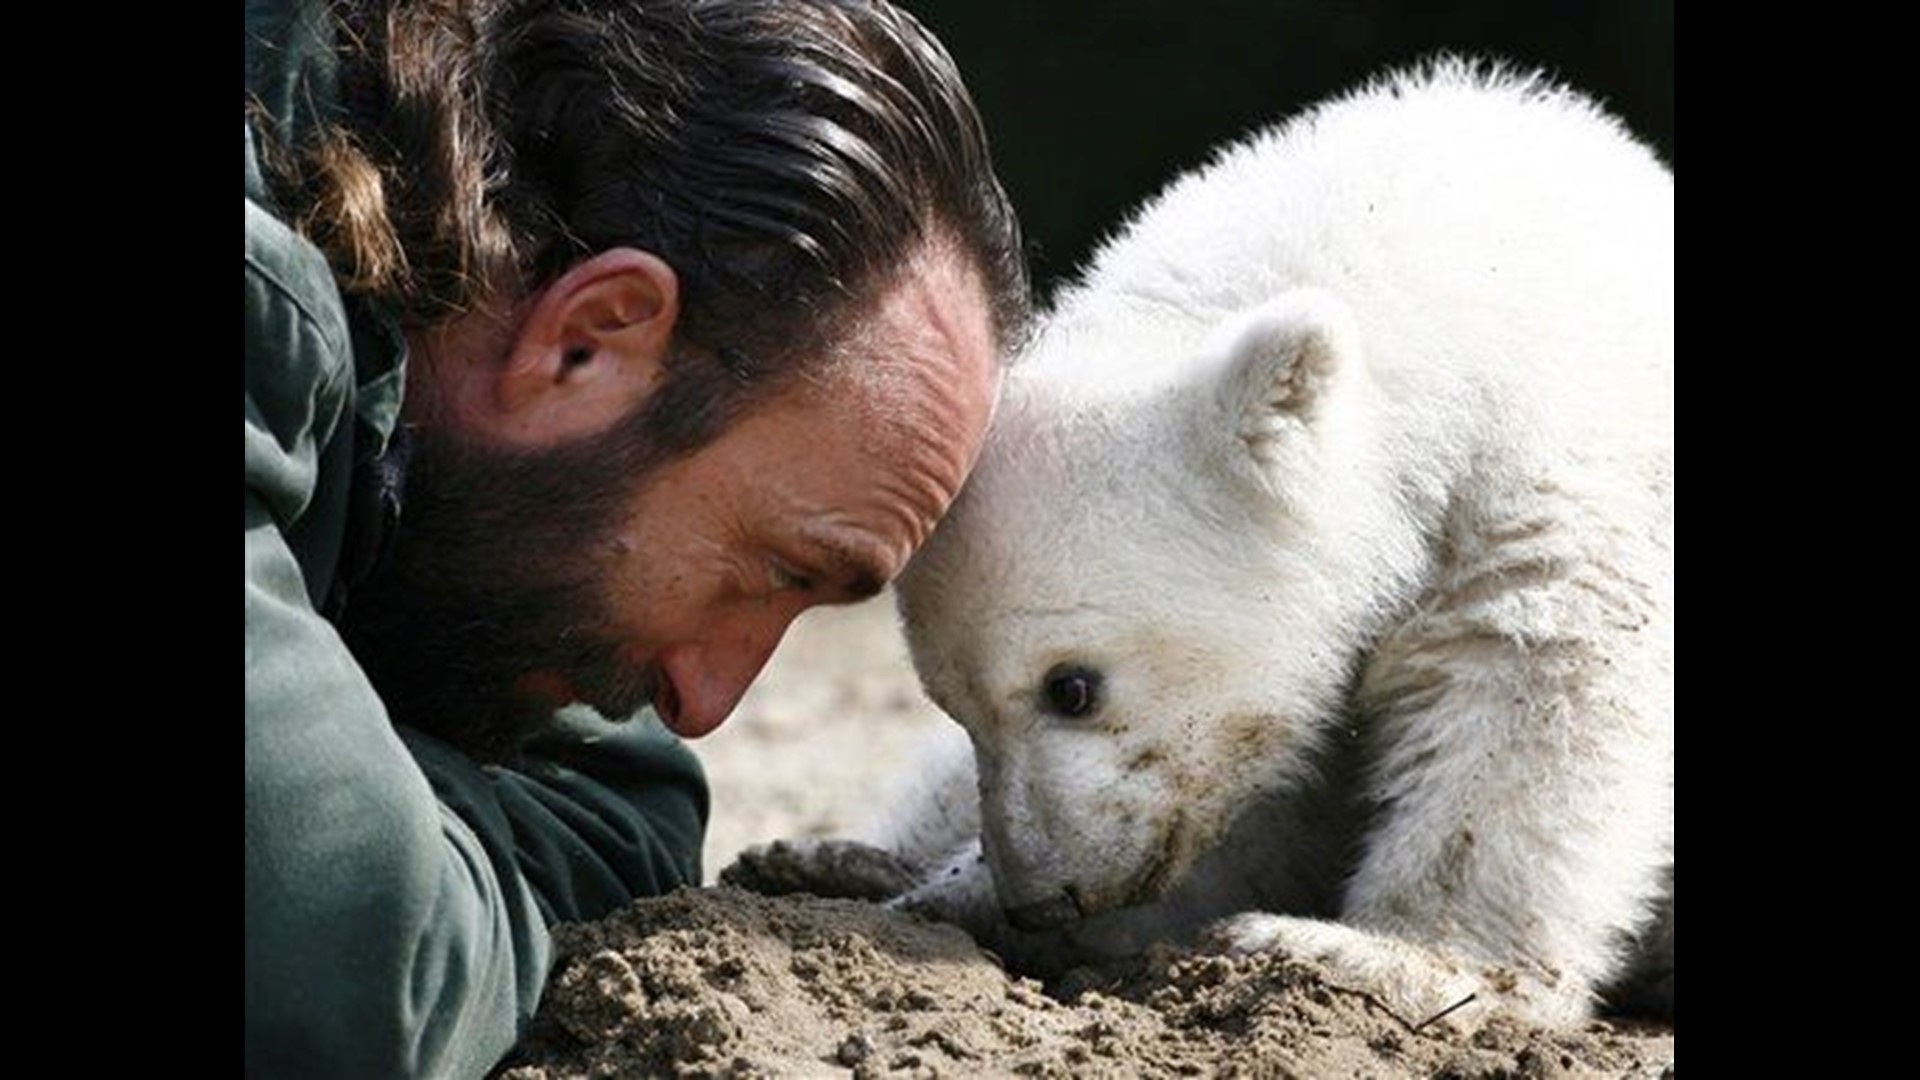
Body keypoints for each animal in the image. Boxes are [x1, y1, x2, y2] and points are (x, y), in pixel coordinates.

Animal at [726, 60, 1673, 1030]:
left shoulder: (1547, 492)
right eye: (952, 702)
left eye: (1072, 687)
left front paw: (1380, 955)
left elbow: (1534, 698)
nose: (1044, 895)